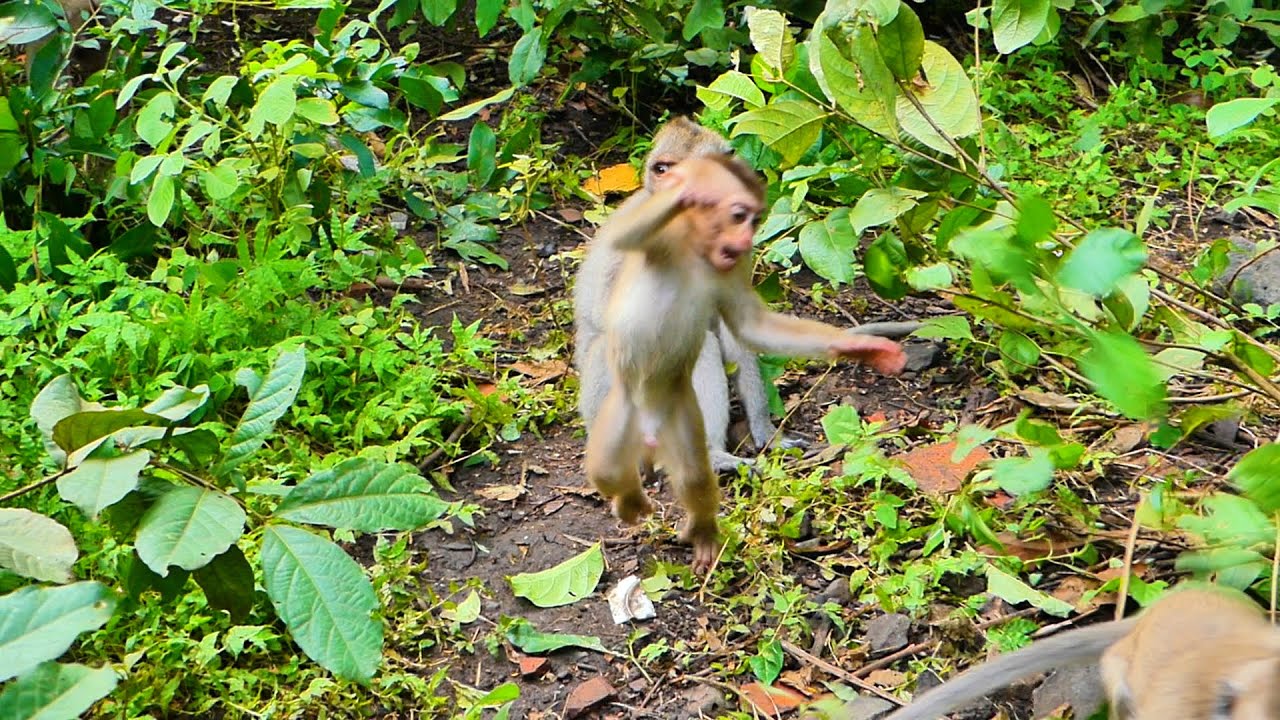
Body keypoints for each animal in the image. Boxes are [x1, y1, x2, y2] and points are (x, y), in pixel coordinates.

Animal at [585, 154, 907, 573]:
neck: (697, 254)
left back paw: (702, 525)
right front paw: (692, 185)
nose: (745, 238)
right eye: (739, 215)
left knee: (694, 473)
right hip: (623, 412)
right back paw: (632, 499)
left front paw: (862, 347)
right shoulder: (661, 241)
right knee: (610, 467)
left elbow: (750, 327)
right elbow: (620, 239)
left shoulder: (731, 268)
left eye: (754, 220)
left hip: (679, 414)